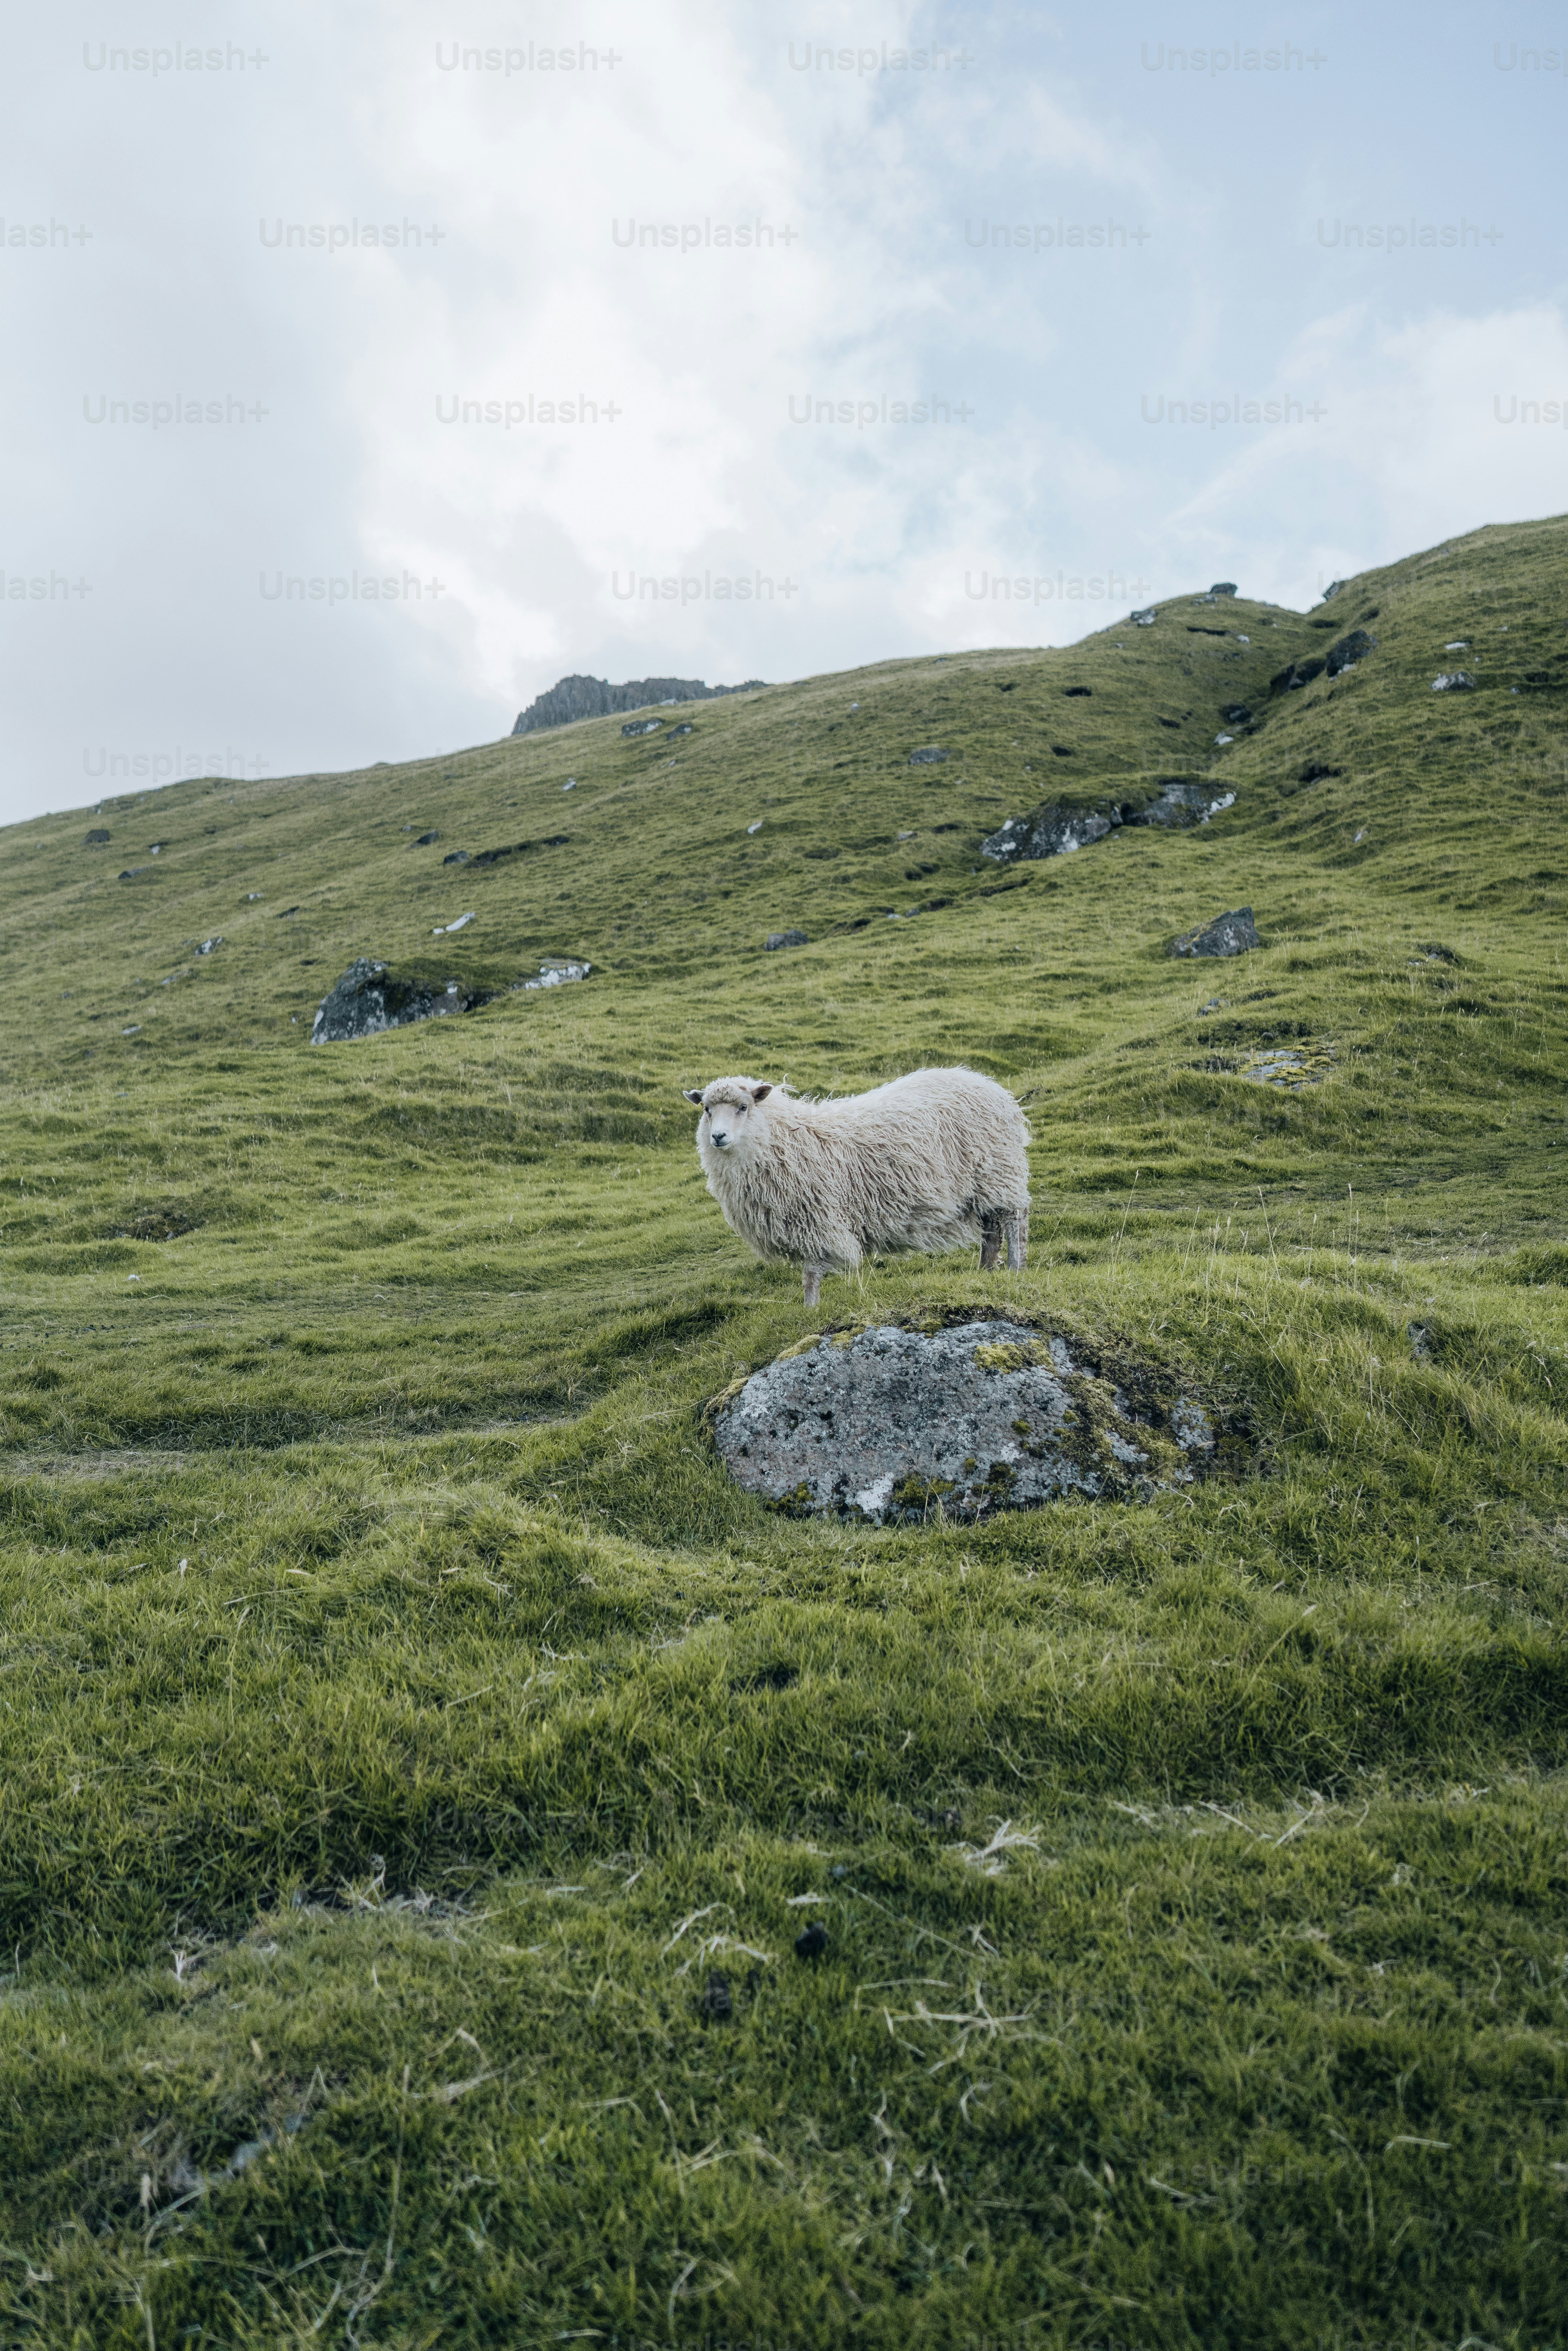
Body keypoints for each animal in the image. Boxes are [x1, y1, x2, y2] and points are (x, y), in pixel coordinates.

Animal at [682, 1066, 1030, 1305]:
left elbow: (811, 1273)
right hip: (985, 1185)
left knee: (1015, 1220)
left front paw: (810, 1309)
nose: (718, 1137)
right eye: (707, 1110)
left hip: (1000, 1173)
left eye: (744, 1107)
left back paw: (1016, 1269)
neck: (784, 1139)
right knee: (991, 1229)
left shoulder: (818, 1219)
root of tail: (989, 1085)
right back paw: (986, 1272)